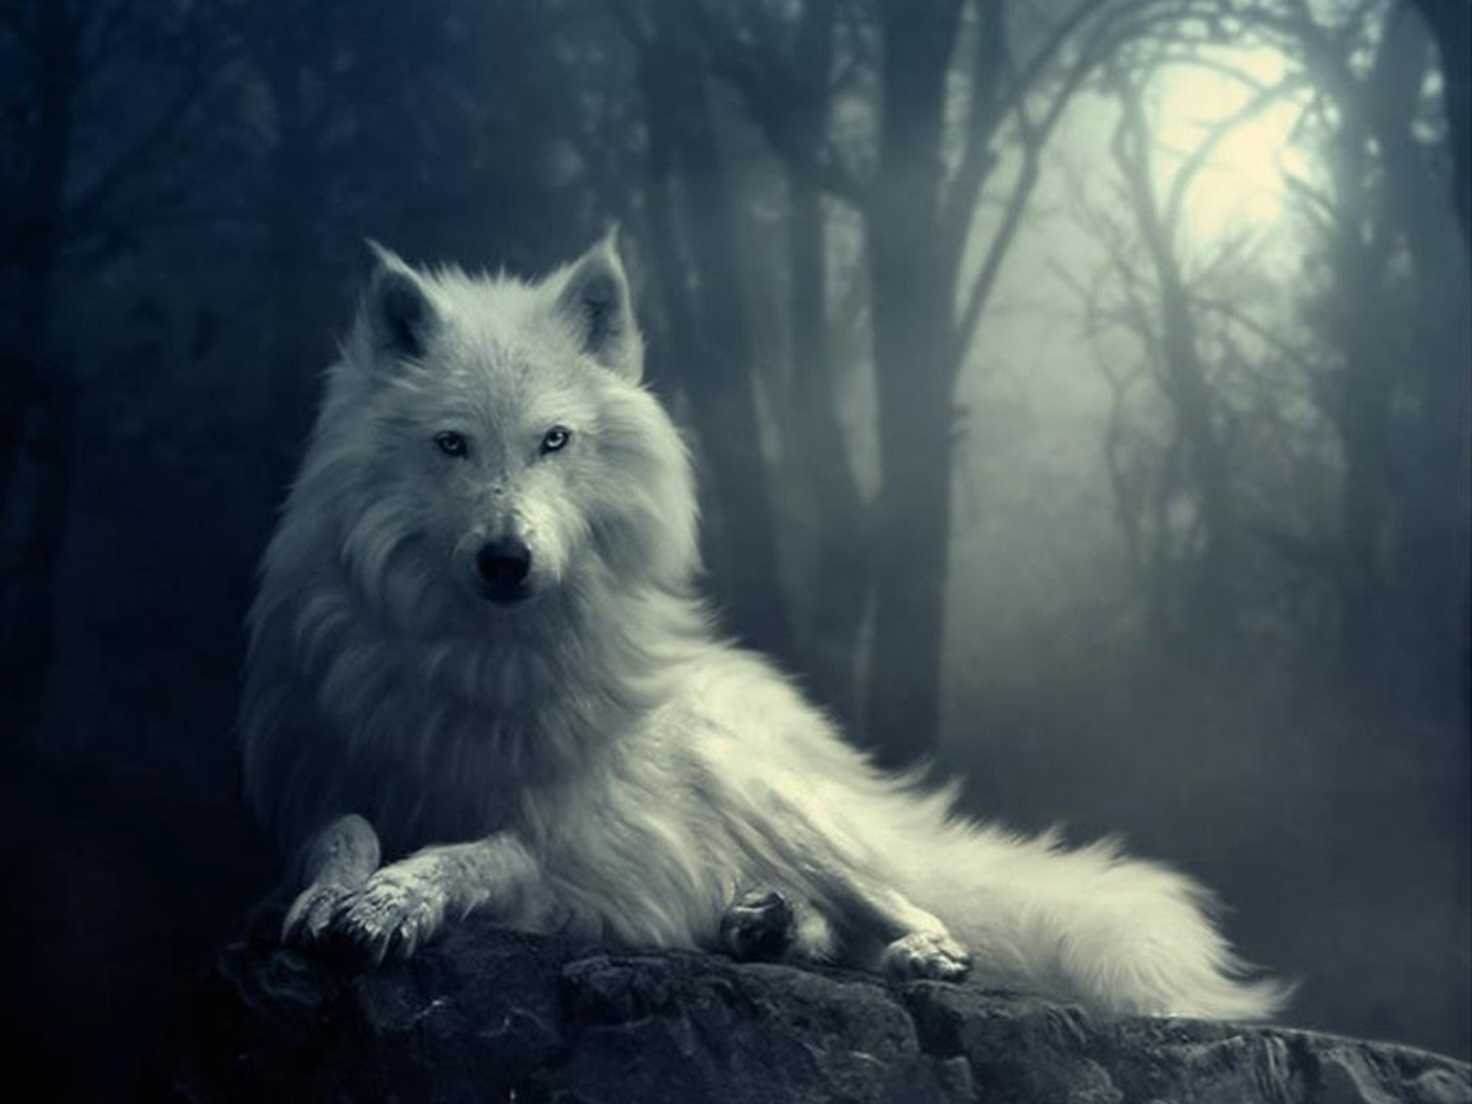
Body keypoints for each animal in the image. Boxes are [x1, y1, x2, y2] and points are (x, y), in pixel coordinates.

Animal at [240, 233, 1288, 1019]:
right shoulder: (319, 780)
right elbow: (340, 832)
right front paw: (335, 894)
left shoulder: (573, 848)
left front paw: (395, 900)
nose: (507, 560)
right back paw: (763, 923)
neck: (484, 661)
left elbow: (478, 853)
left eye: (554, 441)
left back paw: (910, 952)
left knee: (911, 906)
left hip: (771, 799)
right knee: (814, 921)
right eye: (452, 444)